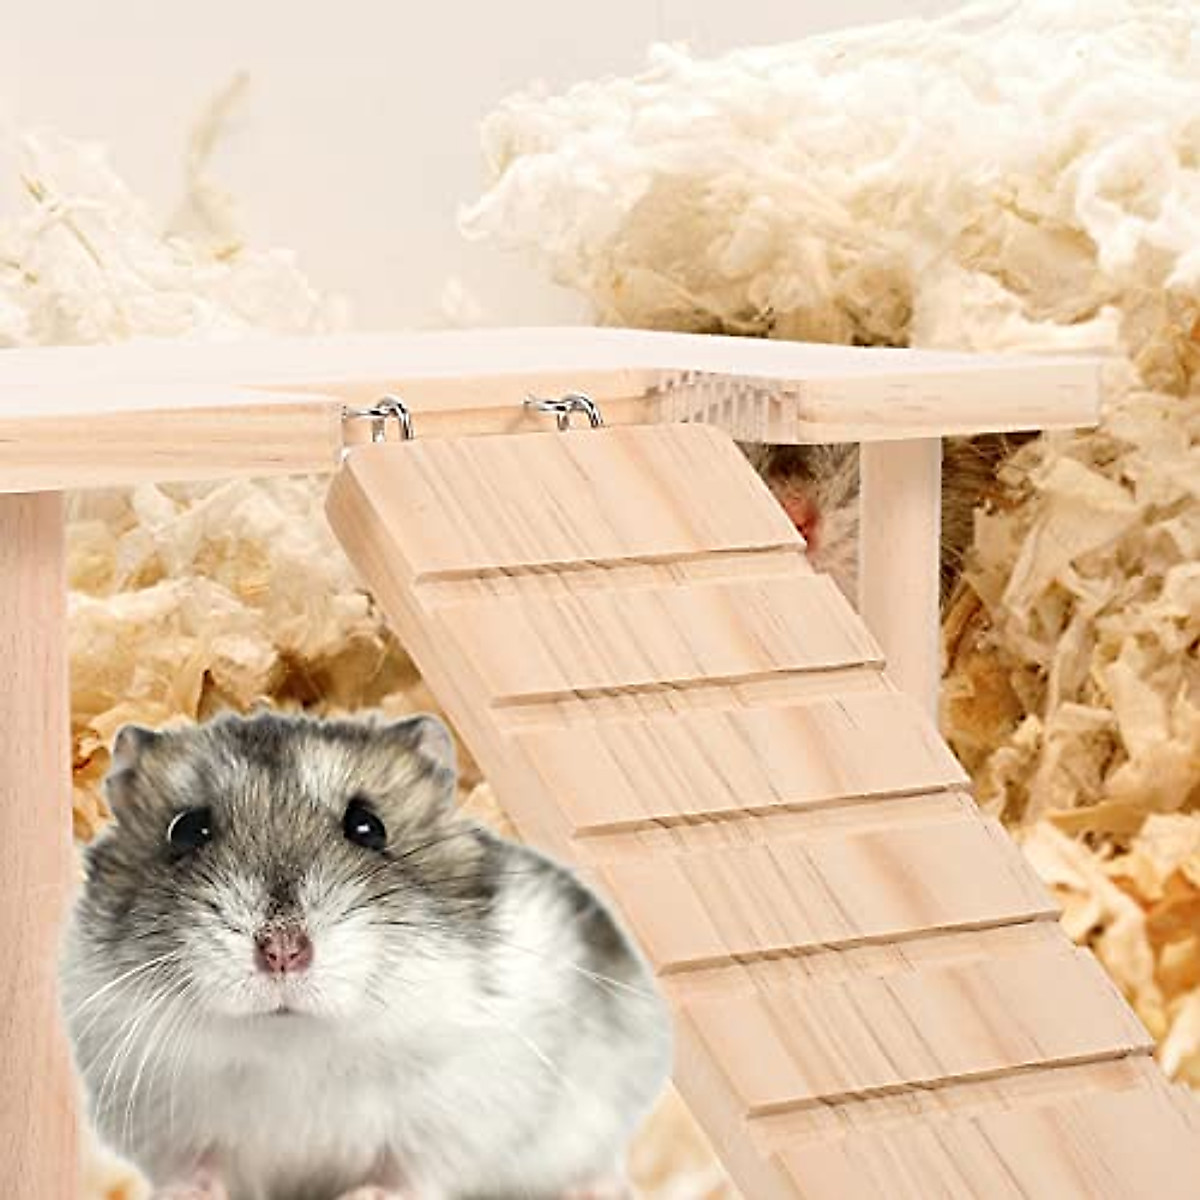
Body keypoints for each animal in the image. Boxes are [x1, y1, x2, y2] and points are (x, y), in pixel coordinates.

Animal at [62, 712, 672, 1200]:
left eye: (368, 827)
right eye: (187, 830)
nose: (282, 951)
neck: (293, 1046)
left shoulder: (462, 1110)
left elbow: (410, 1173)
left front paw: (363, 1196)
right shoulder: (162, 1120)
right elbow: (194, 1171)